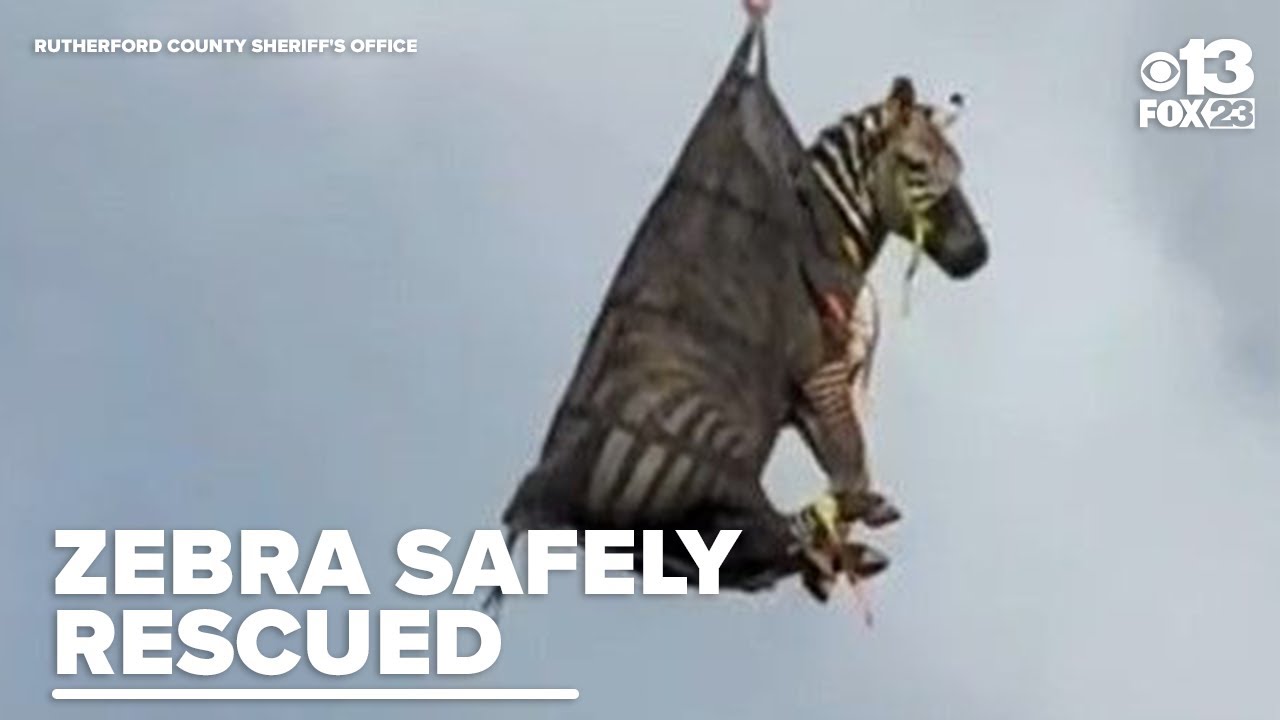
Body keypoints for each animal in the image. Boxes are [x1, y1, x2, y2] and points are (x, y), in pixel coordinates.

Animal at [500, 66, 988, 601]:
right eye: (915, 164)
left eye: (959, 168)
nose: (976, 254)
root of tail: (543, 489)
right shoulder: (820, 372)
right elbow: (852, 466)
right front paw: (839, 543)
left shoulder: (815, 393)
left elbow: (846, 466)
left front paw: (837, 548)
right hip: (699, 422)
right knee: (738, 524)